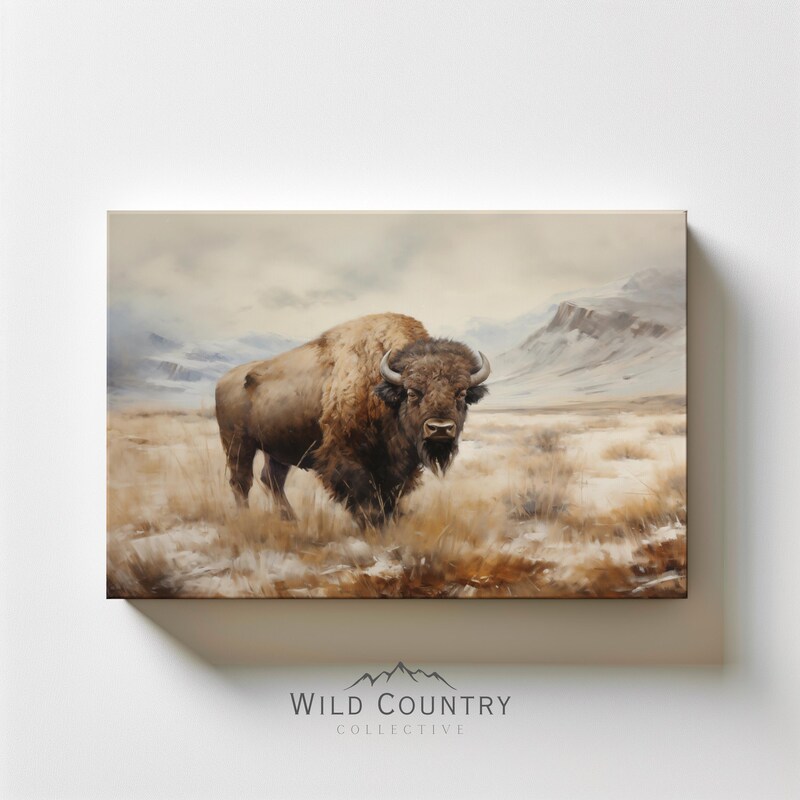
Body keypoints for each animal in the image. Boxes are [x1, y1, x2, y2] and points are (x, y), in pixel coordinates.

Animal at [215, 313, 490, 526]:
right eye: (412, 392)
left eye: (461, 393)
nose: (440, 429)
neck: (382, 390)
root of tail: (225, 379)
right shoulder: (347, 458)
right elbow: (365, 497)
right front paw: (371, 526)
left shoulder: (396, 466)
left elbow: (391, 496)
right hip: (238, 444)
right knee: (241, 482)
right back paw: (246, 519)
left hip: (277, 449)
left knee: (271, 479)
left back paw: (290, 519)